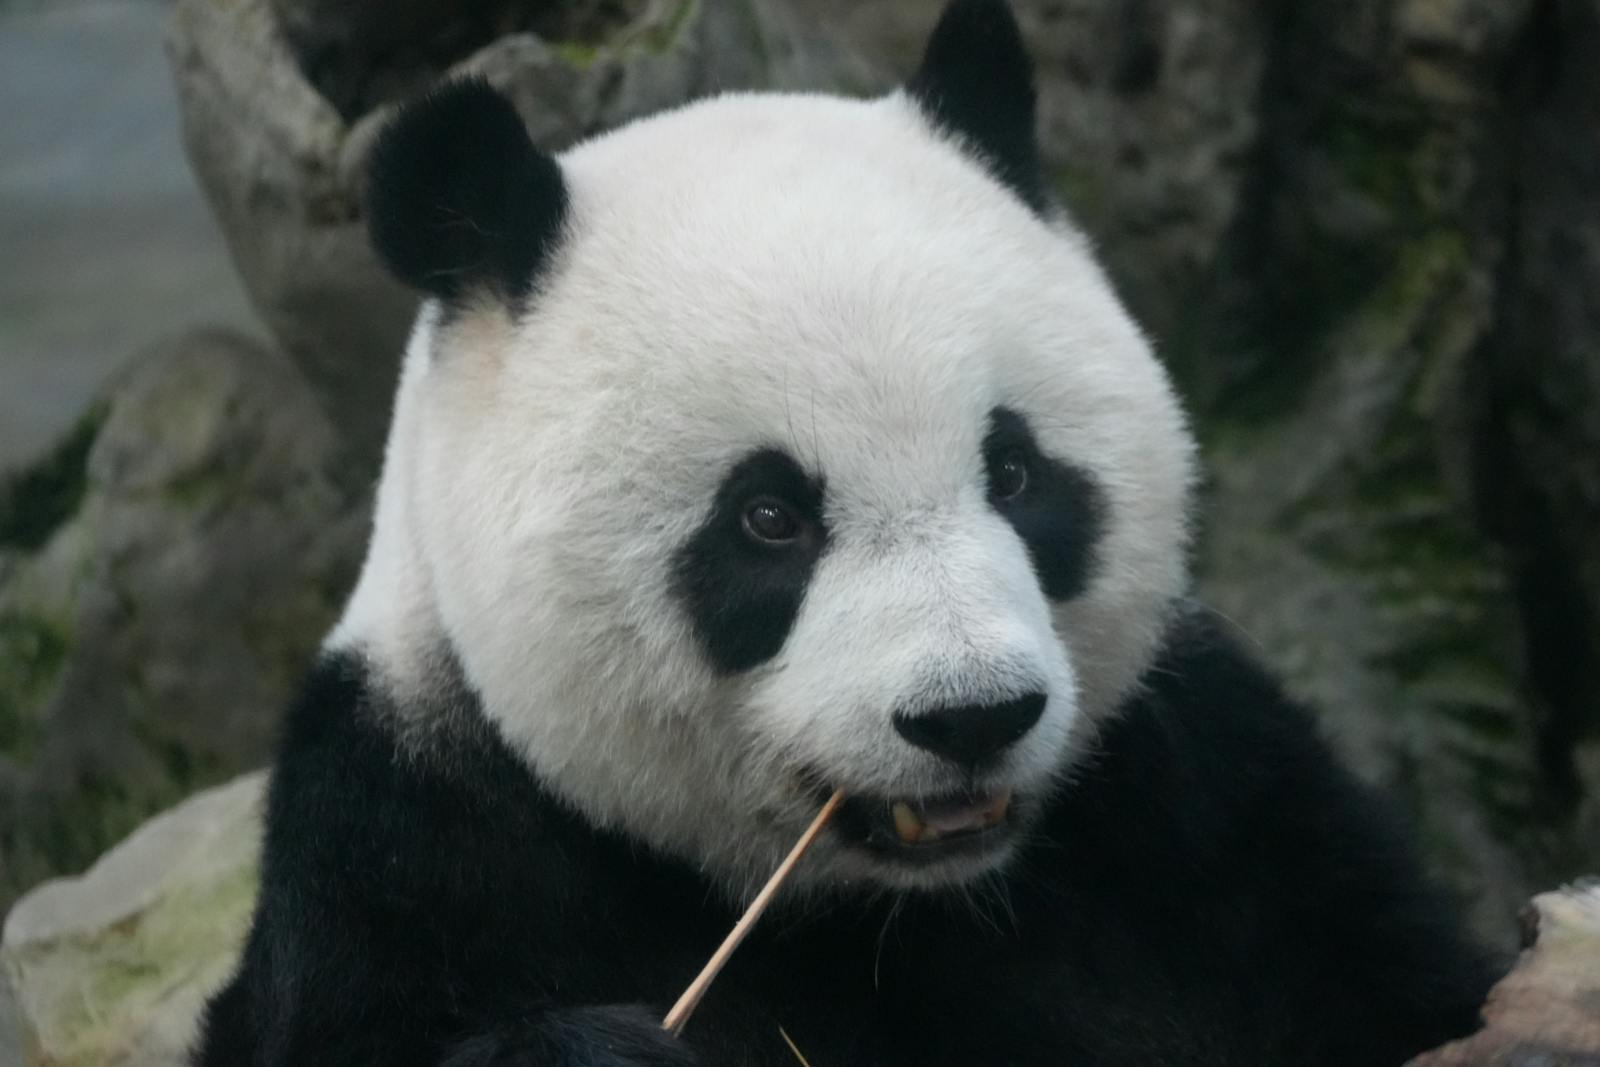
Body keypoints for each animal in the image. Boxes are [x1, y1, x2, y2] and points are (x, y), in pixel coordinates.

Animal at [194, 1, 1496, 1064]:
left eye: (1013, 470)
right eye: (768, 517)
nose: (971, 716)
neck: (909, 905)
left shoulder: (1211, 804)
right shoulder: (411, 852)